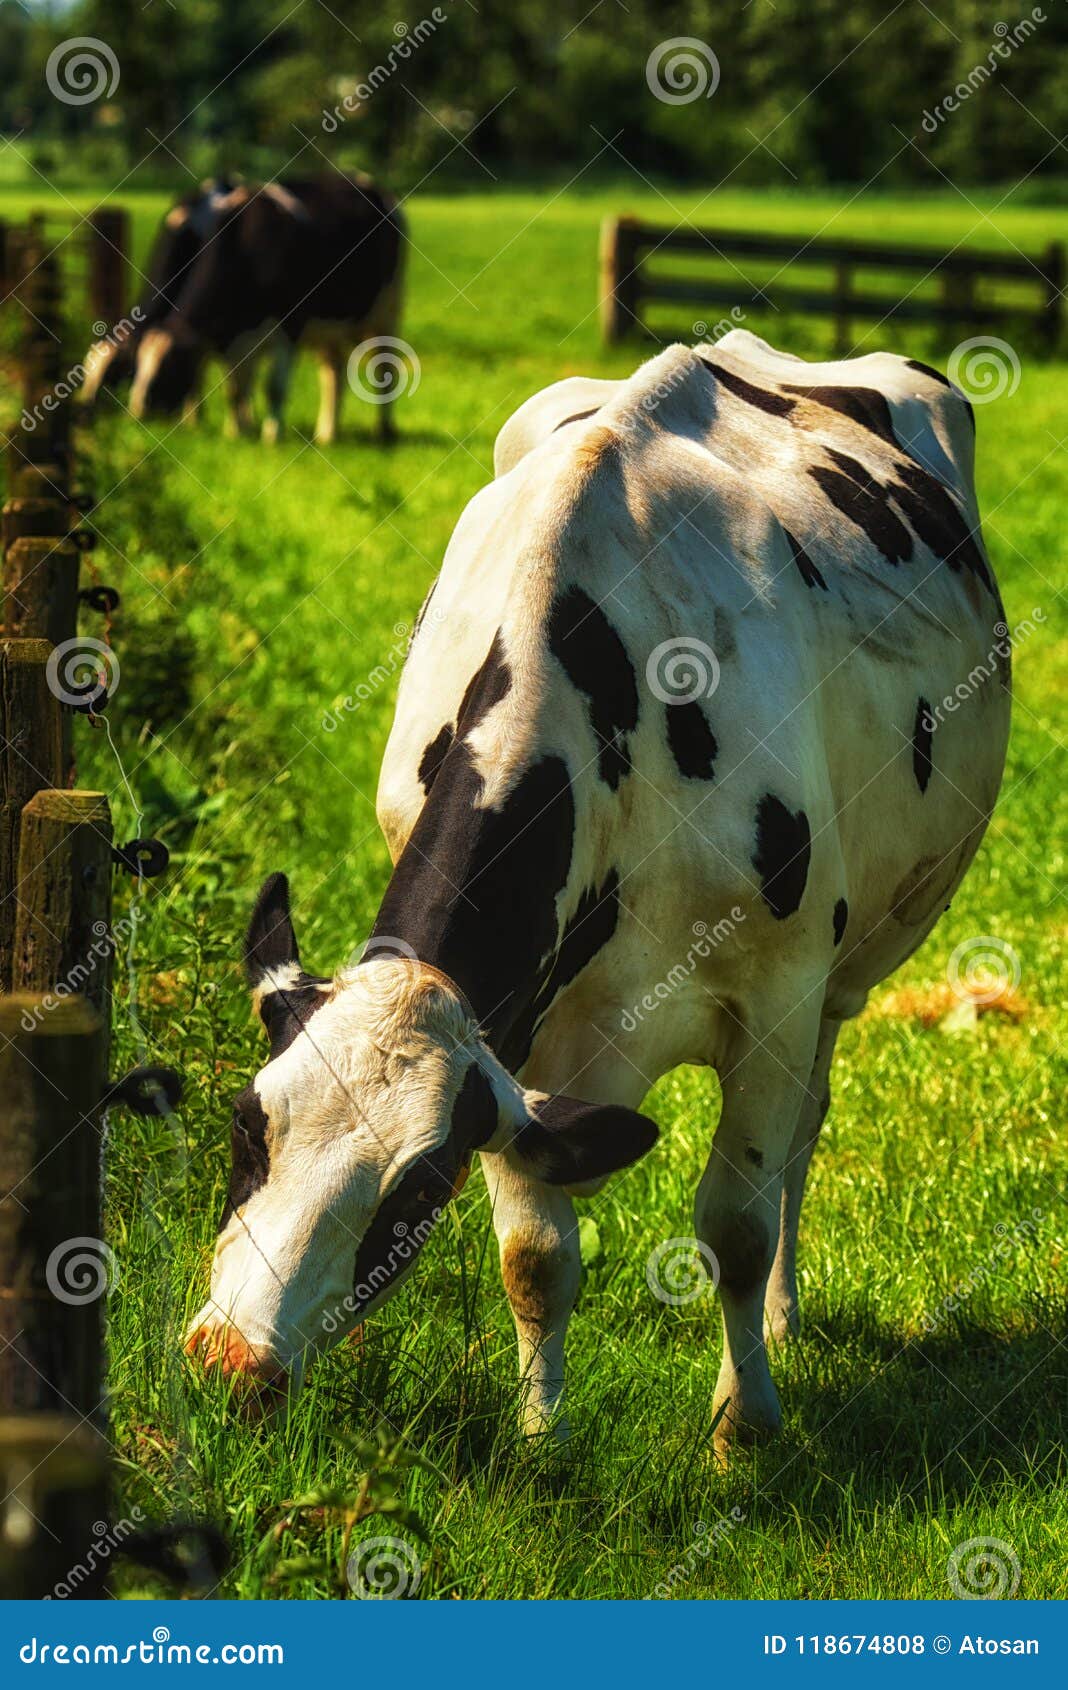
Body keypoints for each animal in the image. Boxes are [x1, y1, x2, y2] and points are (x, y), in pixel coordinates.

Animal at [128, 174, 406, 445]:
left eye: (169, 365)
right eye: (138, 363)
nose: (137, 407)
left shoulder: (290, 326)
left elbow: (274, 388)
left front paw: (272, 435)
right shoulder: (235, 336)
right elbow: (235, 389)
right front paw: (237, 431)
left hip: (386, 315)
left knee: (385, 369)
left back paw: (384, 430)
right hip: (331, 329)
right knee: (333, 374)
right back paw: (327, 434)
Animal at [185, 331, 1010, 1458]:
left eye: (415, 1191)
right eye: (244, 1122)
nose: (230, 1360)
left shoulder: (777, 997)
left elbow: (736, 1225)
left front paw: (745, 1426)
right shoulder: (518, 1032)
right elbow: (535, 1253)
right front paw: (543, 1434)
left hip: (845, 975)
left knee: (802, 1138)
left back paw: (784, 1323)